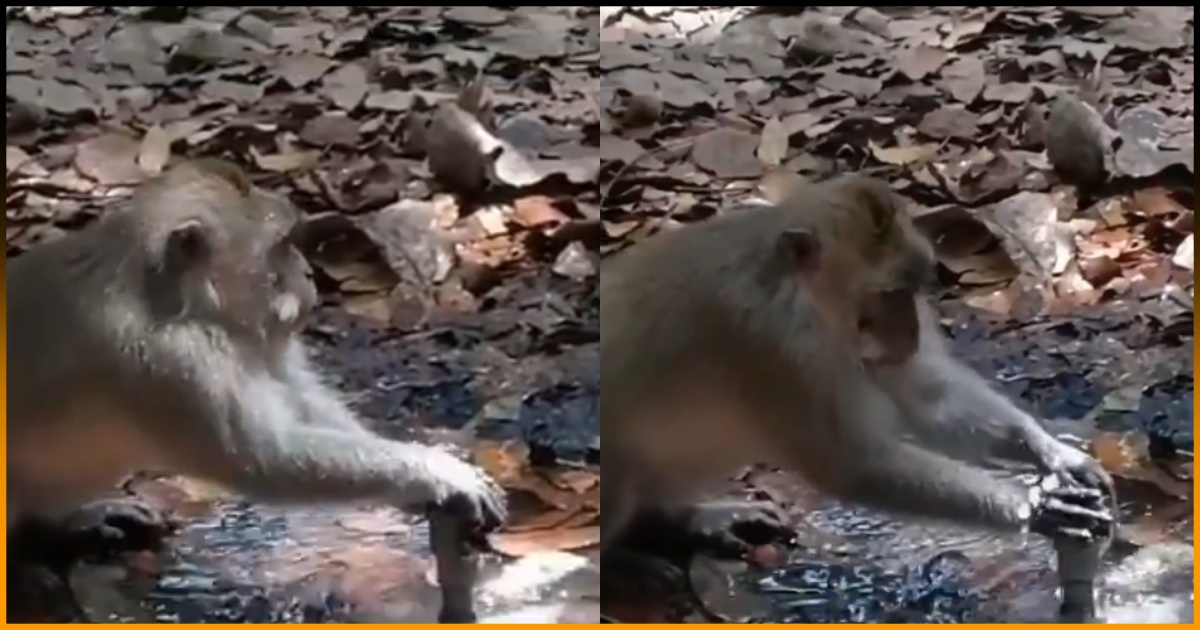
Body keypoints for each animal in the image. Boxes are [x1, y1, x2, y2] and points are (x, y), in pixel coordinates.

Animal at [6, 160, 507, 618]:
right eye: (280, 247)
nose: (309, 275)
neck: (177, 300)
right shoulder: (173, 363)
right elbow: (264, 460)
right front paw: (439, 471)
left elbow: (297, 397)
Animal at [600, 175, 1113, 576]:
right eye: (885, 294)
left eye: (912, 290)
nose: (909, 332)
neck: (799, 289)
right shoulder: (775, 342)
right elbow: (853, 463)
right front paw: (1035, 506)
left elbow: (929, 396)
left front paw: (1052, 452)